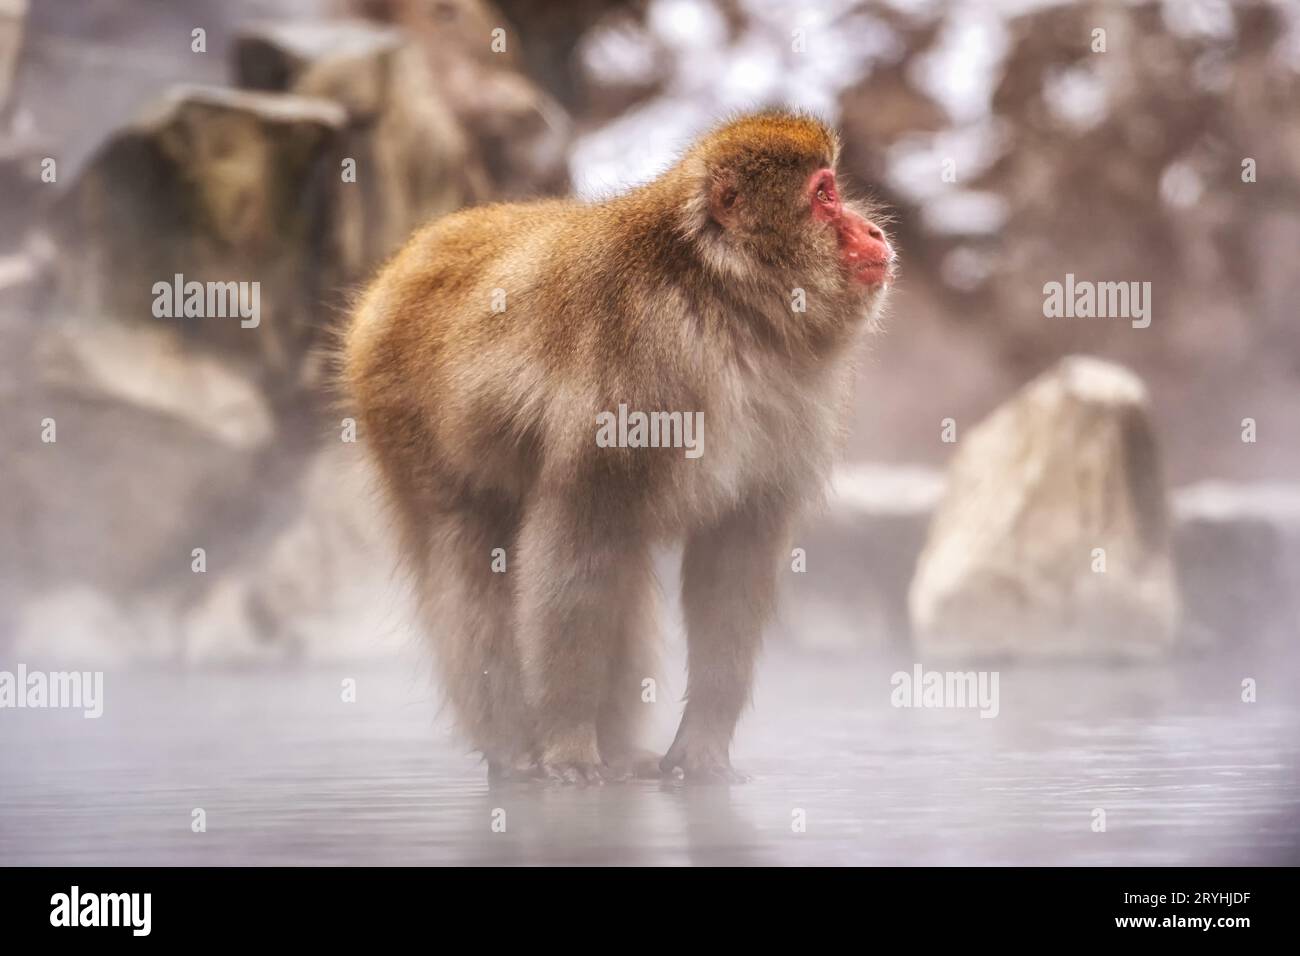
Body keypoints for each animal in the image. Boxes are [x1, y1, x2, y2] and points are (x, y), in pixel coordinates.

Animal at [341, 110, 894, 784]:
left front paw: (702, 746)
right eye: (824, 196)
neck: (724, 308)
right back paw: (512, 745)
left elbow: (734, 556)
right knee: (469, 555)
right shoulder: (628, 377)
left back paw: (620, 747)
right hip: (400, 413)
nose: (872, 229)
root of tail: (400, 263)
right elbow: (576, 548)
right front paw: (569, 743)